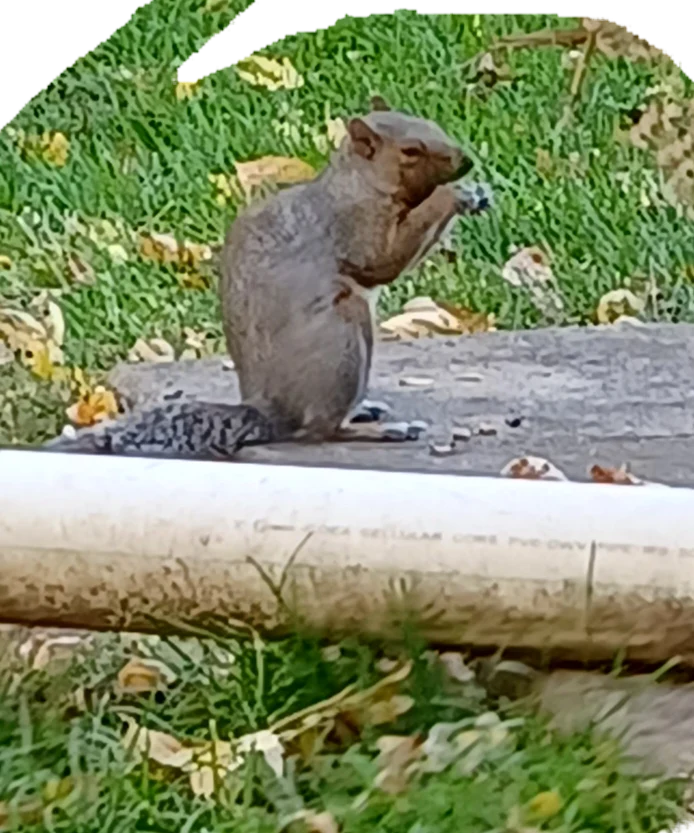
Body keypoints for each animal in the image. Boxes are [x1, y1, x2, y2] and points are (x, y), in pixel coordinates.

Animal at [44, 99, 492, 459]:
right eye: (410, 151)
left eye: (429, 123)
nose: (466, 162)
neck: (355, 184)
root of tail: (272, 410)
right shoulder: (354, 228)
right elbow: (385, 258)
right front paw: (454, 194)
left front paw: (477, 192)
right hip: (341, 342)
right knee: (320, 431)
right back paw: (378, 429)